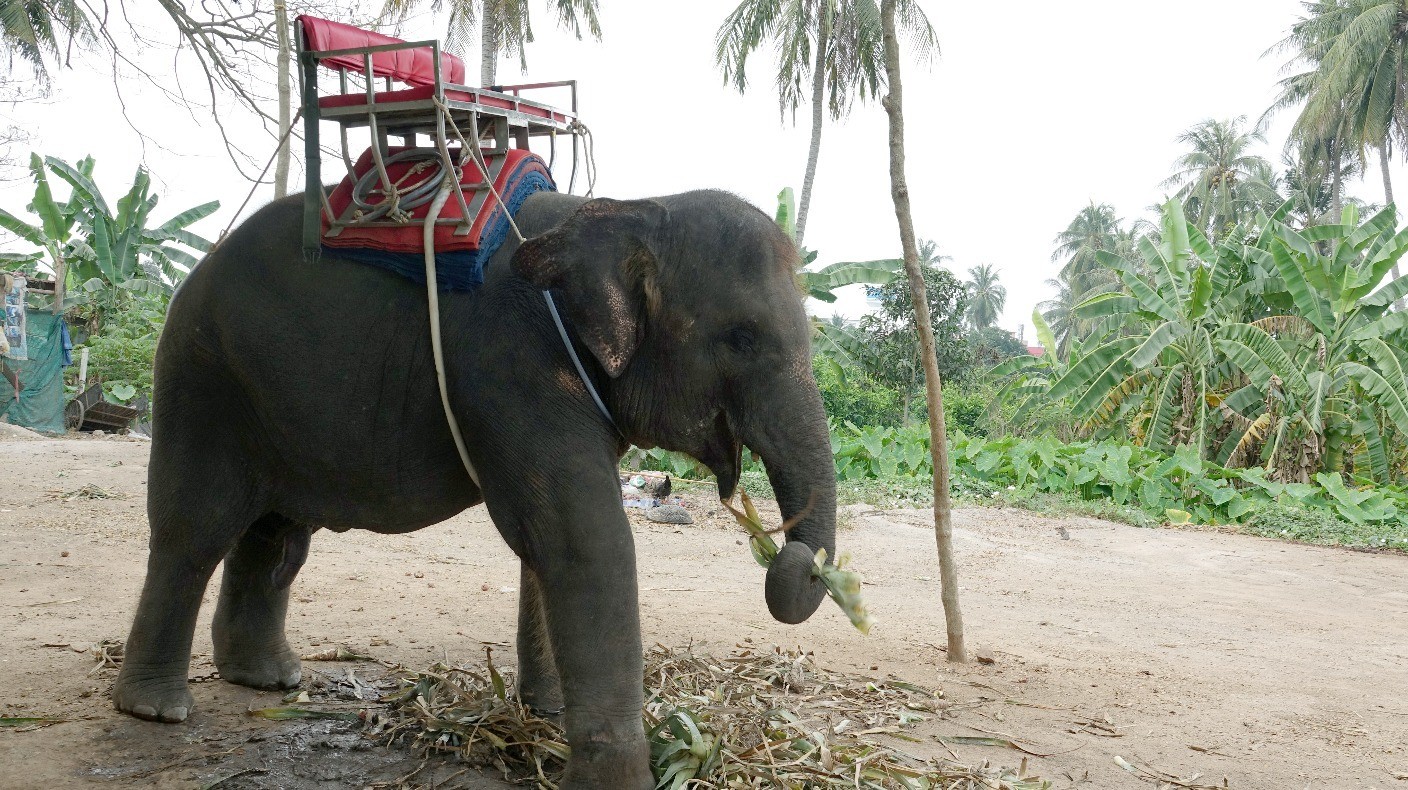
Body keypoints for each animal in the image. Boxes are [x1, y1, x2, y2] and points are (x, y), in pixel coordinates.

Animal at [112, 188, 838, 788]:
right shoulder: (511, 364)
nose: (792, 561)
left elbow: (547, 546)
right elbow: (584, 540)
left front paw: (545, 715)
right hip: (201, 379)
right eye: (741, 337)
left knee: (277, 536)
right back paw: (156, 709)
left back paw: (266, 680)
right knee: (193, 533)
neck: (626, 204)